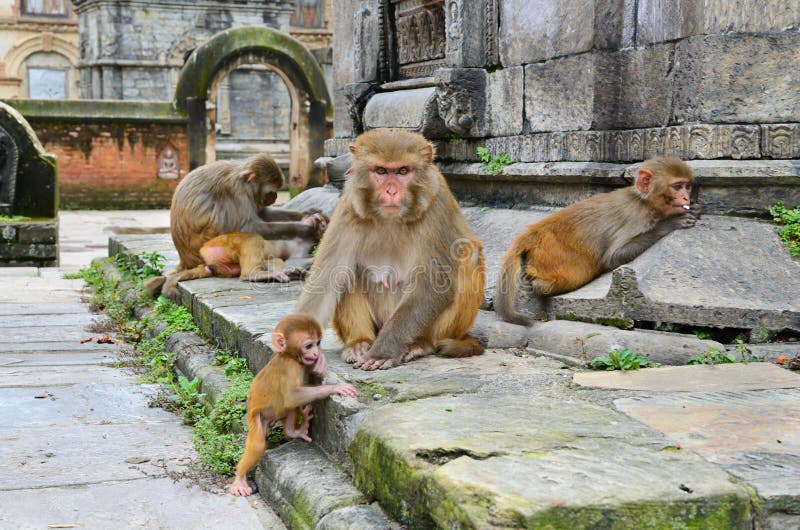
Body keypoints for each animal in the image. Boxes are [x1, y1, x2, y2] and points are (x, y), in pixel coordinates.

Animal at [145, 232, 309, 300]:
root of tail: (205, 261)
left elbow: (272, 261)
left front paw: (294, 272)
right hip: (219, 247)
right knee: (252, 238)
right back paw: (252, 274)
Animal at [230, 313, 359, 497]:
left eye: (318, 343)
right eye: (308, 345)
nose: (315, 352)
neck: (289, 356)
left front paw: (320, 361)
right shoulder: (289, 368)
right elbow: (291, 396)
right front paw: (335, 387)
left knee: (290, 410)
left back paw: (294, 431)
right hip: (256, 418)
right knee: (258, 444)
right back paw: (240, 478)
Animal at [295, 128, 486, 371]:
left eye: (403, 171)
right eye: (381, 171)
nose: (392, 191)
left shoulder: (437, 206)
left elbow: (434, 283)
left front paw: (383, 352)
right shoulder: (349, 206)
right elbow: (326, 279)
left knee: (469, 254)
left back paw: (421, 344)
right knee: (344, 272)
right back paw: (359, 342)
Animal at [494, 156, 702, 326]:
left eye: (687, 186)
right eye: (677, 186)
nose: (686, 197)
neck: (645, 201)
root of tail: (533, 232)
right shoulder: (637, 218)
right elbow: (611, 258)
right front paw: (672, 221)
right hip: (552, 252)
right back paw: (540, 285)